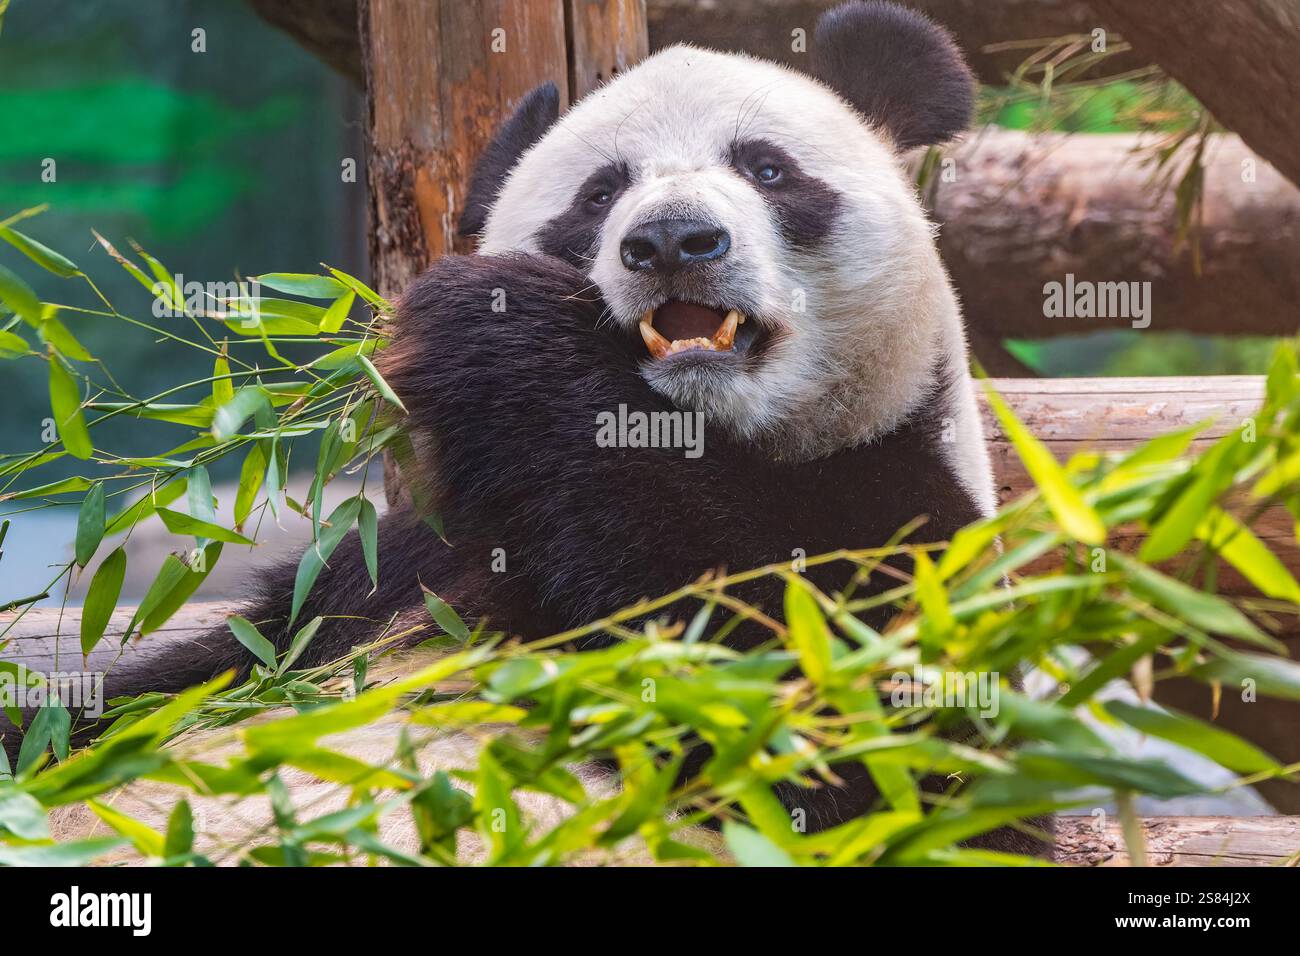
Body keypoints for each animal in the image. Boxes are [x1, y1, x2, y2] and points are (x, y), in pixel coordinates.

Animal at [9, 1, 1049, 858]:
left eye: (765, 167)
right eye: (598, 194)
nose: (672, 239)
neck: (705, 439)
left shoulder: (909, 525)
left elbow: (856, 755)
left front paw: (499, 330)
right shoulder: (381, 575)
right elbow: (154, 695)